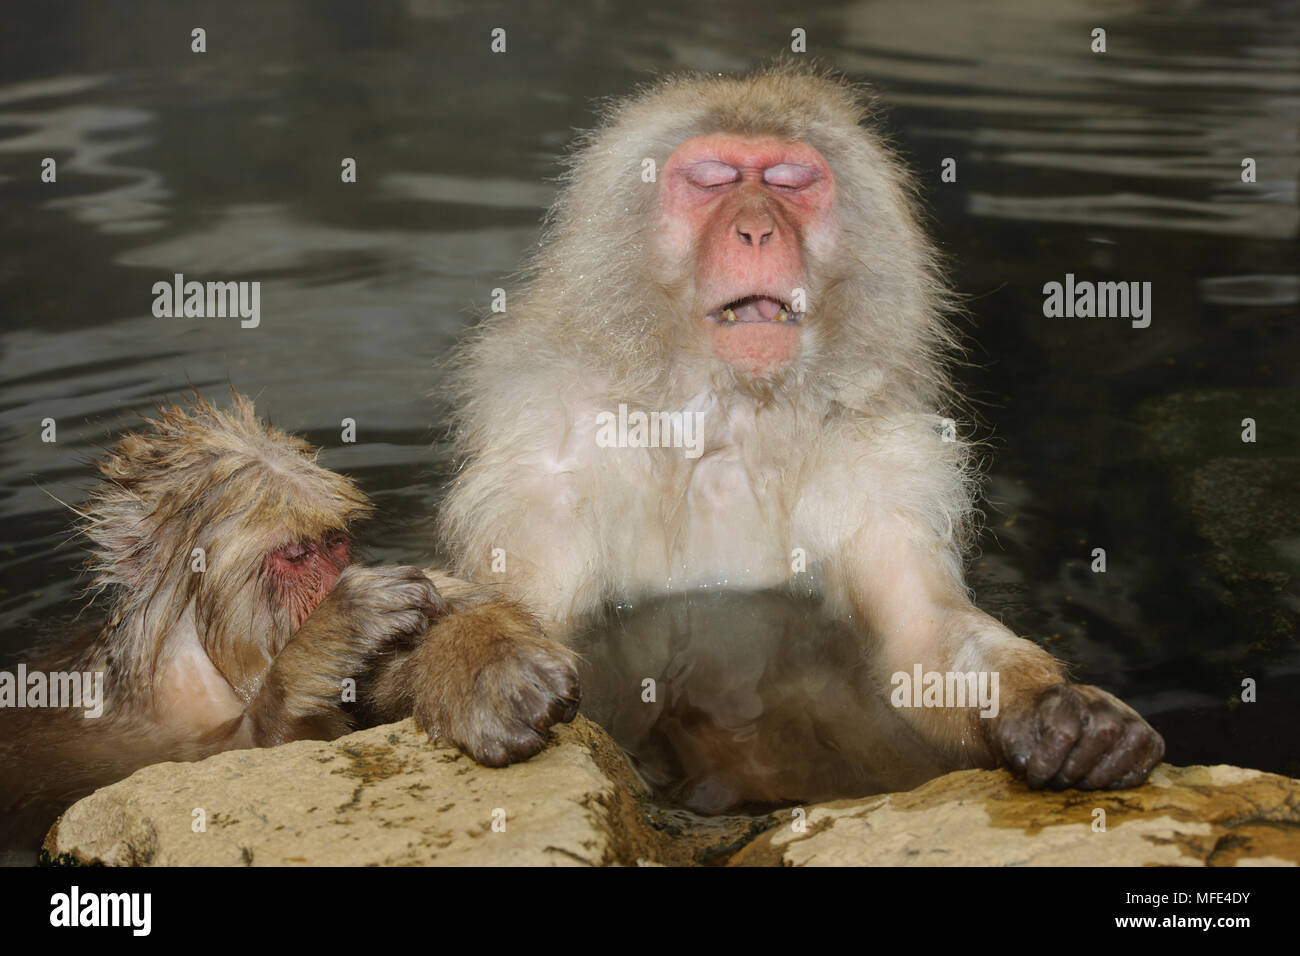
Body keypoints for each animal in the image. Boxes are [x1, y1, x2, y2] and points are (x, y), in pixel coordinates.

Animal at [0, 394, 577, 854]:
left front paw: (487, 661)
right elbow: (224, 762)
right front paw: (332, 634)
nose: (338, 579)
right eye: (297, 556)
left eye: (335, 543)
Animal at [436, 63, 1164, 795]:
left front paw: (1048, 707)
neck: (731, 415)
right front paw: (485, 655)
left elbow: (921, 641)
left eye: (789, 183)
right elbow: (518, 595)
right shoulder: (551, 452)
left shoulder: (886, 463)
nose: (757, 231)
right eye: (712, 181)